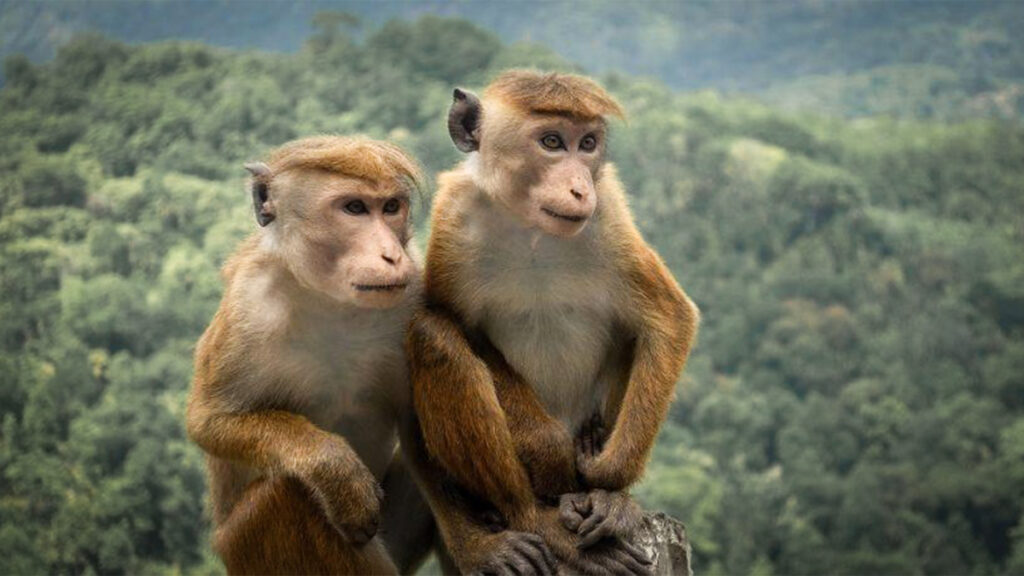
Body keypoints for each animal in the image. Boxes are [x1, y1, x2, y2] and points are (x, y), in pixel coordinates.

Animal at [185, 136, 438, 575]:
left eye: (390, 207)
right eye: (354, 208)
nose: (391, 255)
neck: (329, 301)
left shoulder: (412, 291)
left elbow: (420, 429)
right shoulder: (248, 307)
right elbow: (210, 419)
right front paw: (334, 471)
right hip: (242, 549)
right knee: (284, 493)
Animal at [405, 70, 699, 575]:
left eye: (588, 144)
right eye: (551, 142)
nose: (581, 187)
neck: (533, 231)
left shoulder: (610, 217)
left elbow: (669, 318)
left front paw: (607, 476)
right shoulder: (453, 221)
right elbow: (462, 328)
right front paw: (551, 451)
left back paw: (608, 496)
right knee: (432, 337)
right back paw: (529, 516)